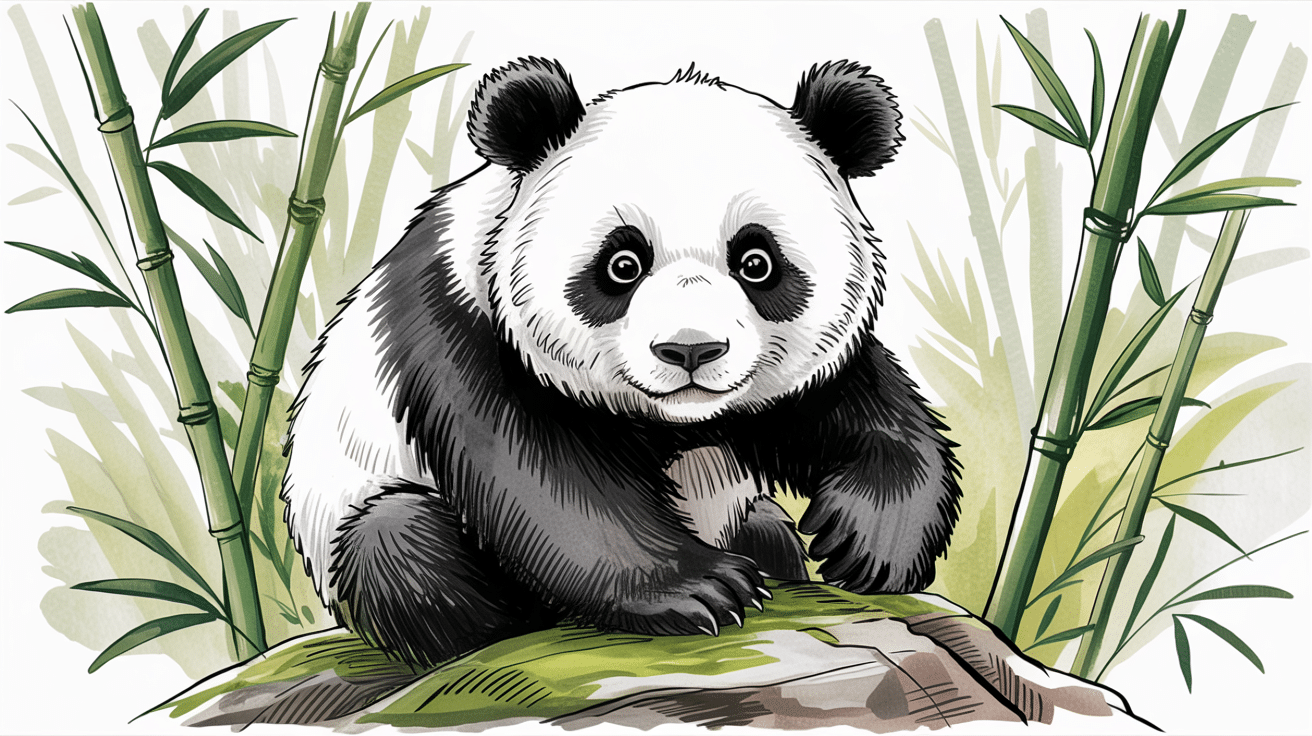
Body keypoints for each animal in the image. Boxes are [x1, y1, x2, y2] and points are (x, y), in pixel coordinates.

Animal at [283, 58, 962, 668]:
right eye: (622, 264)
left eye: (757, 262)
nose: (690, 350)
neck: (677, 421)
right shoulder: (462, 322)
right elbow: (547, 482)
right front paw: (702, 589)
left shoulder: (802, 380)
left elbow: (869, 412)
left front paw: (869, 543)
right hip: (348, 515)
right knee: (400, 542)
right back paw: (511, 618)